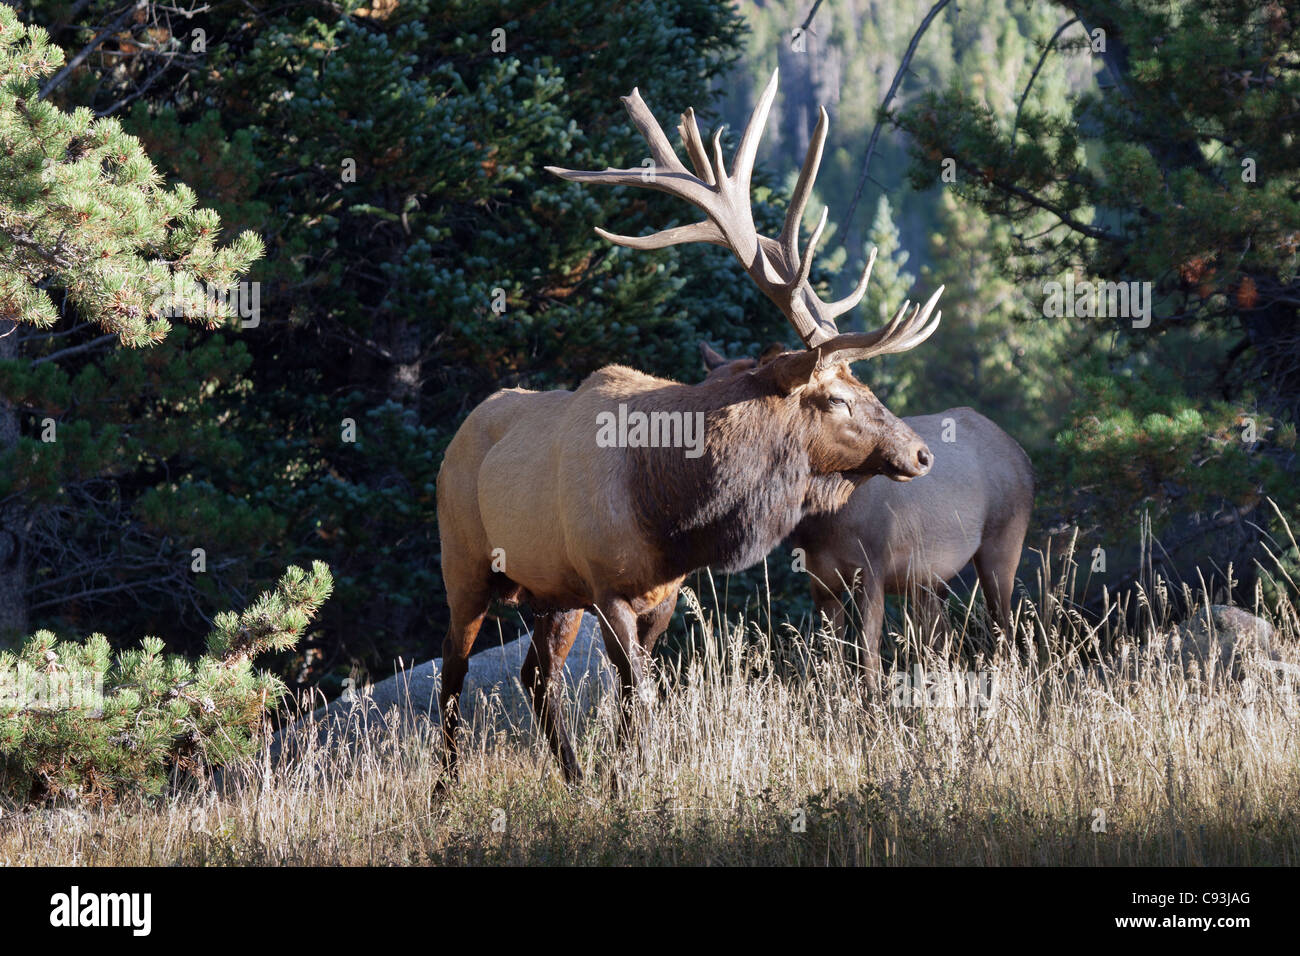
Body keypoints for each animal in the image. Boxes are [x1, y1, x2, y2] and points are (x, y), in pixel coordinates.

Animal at [435, 69, 944, 786]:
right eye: (839, 399)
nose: (921, 454)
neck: (672, 507)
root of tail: (458, 437)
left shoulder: (661, 595)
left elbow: (633, 700)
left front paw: (621, 780)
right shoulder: (607, 586)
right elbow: (639, 695)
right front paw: (632, 783)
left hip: (551, 591)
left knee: (535, 676)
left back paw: (575, 779)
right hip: (466, 562)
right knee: (453, 675)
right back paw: (445, 791)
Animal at [700, 344, 1035, 680]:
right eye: (708, 382)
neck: (825, 523)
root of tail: (1023, 455)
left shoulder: (874, 563)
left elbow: (867, 653)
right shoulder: (819, 577)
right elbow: (831, 654)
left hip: (1004, 540)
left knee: (1003, 629)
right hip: (931, 577)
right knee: (941, 639)